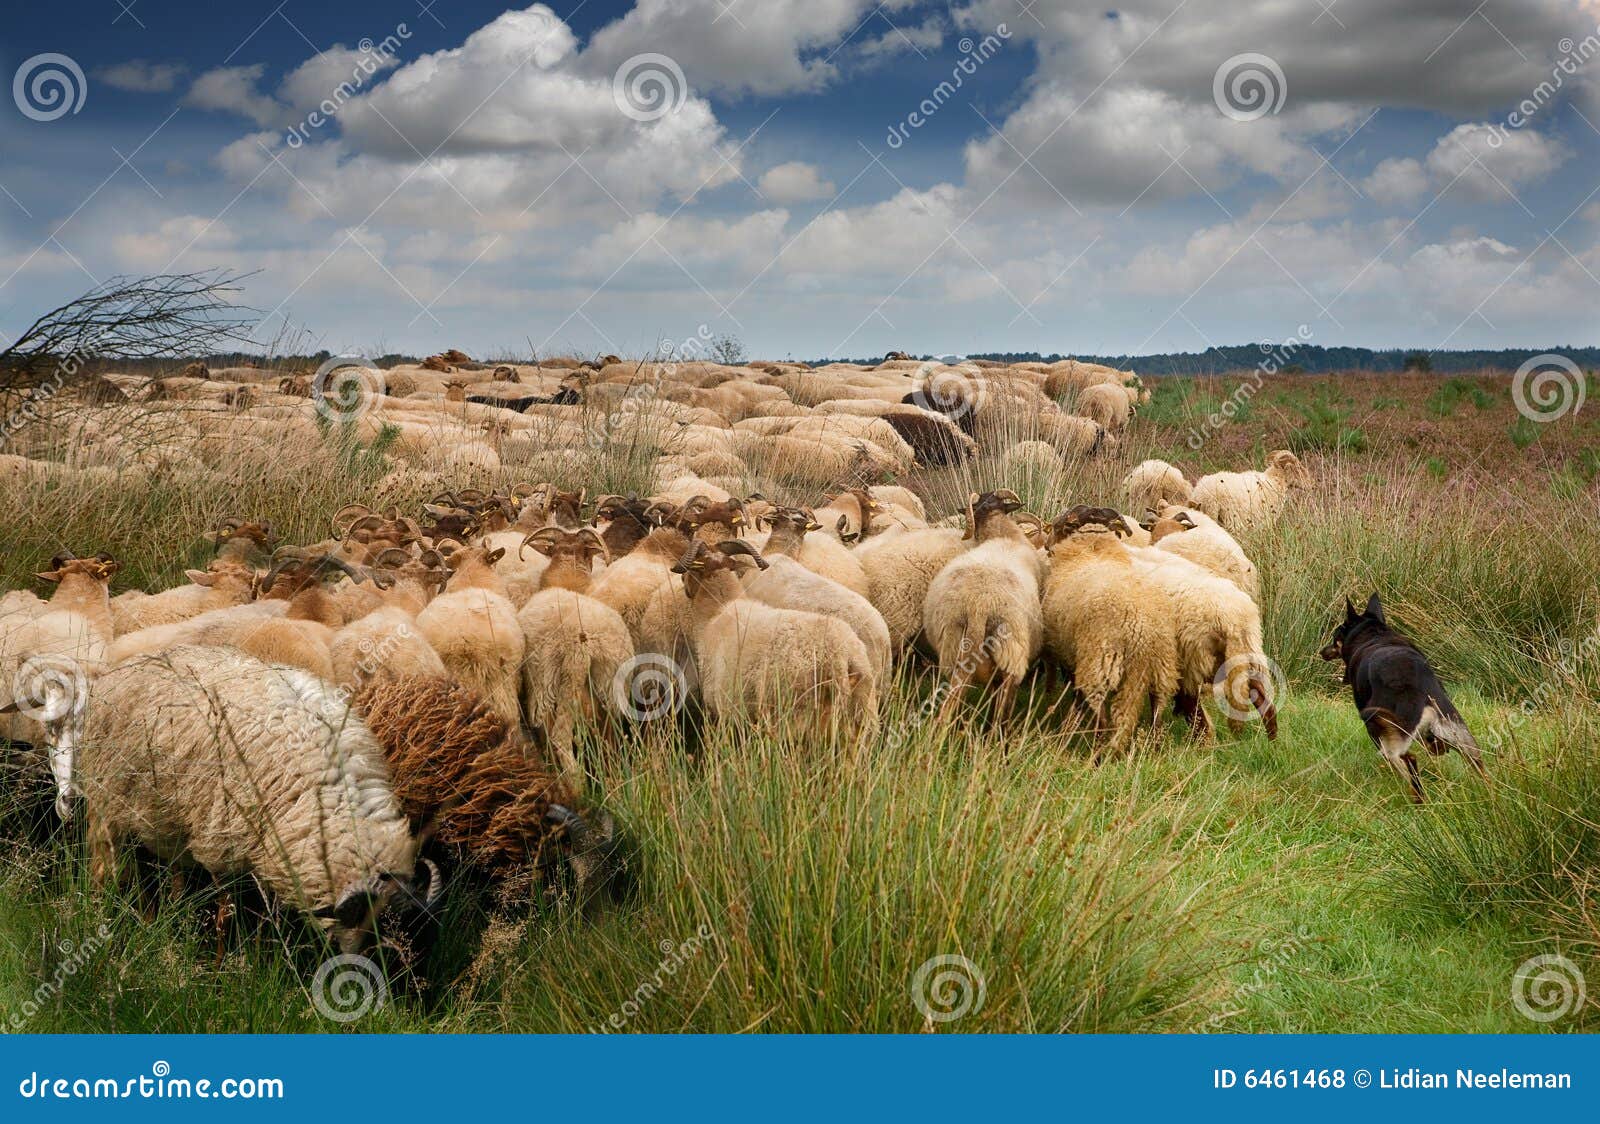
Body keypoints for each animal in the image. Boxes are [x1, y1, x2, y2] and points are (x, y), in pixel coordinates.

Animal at [42, 646, 435, 953]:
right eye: (369, 929)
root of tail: (127, 666)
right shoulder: (222, 844)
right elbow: (225, 917)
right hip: (109, 804)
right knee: (106, 864)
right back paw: (102, 905)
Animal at [515, 527, 634, 790]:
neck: (566, 581)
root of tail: (580, 646)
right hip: (608, 687)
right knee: (607, 744)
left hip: (546, 686)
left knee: (557, 739)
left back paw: (574, 786)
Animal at [670, 541, 878, 740]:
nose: (682, 581)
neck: (718, 610)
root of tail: (842, 657)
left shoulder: (722, 712)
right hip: (863, 712)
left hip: (796, 719)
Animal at [921, 490, 1045, 721]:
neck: (1003, 534)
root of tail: (978, 607)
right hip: (1011, 655)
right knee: (1001, 712)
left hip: (954, 652)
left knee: (947, 710)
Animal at [1041, 522, 1177, 759]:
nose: (1047, 547)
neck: (1092, 551)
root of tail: (1142, 630)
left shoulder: (1071, 656)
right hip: (1162, 667)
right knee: (1156, 712)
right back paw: (1153, 750)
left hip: (1099, 661)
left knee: (1102, 717)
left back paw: (1099, 754)